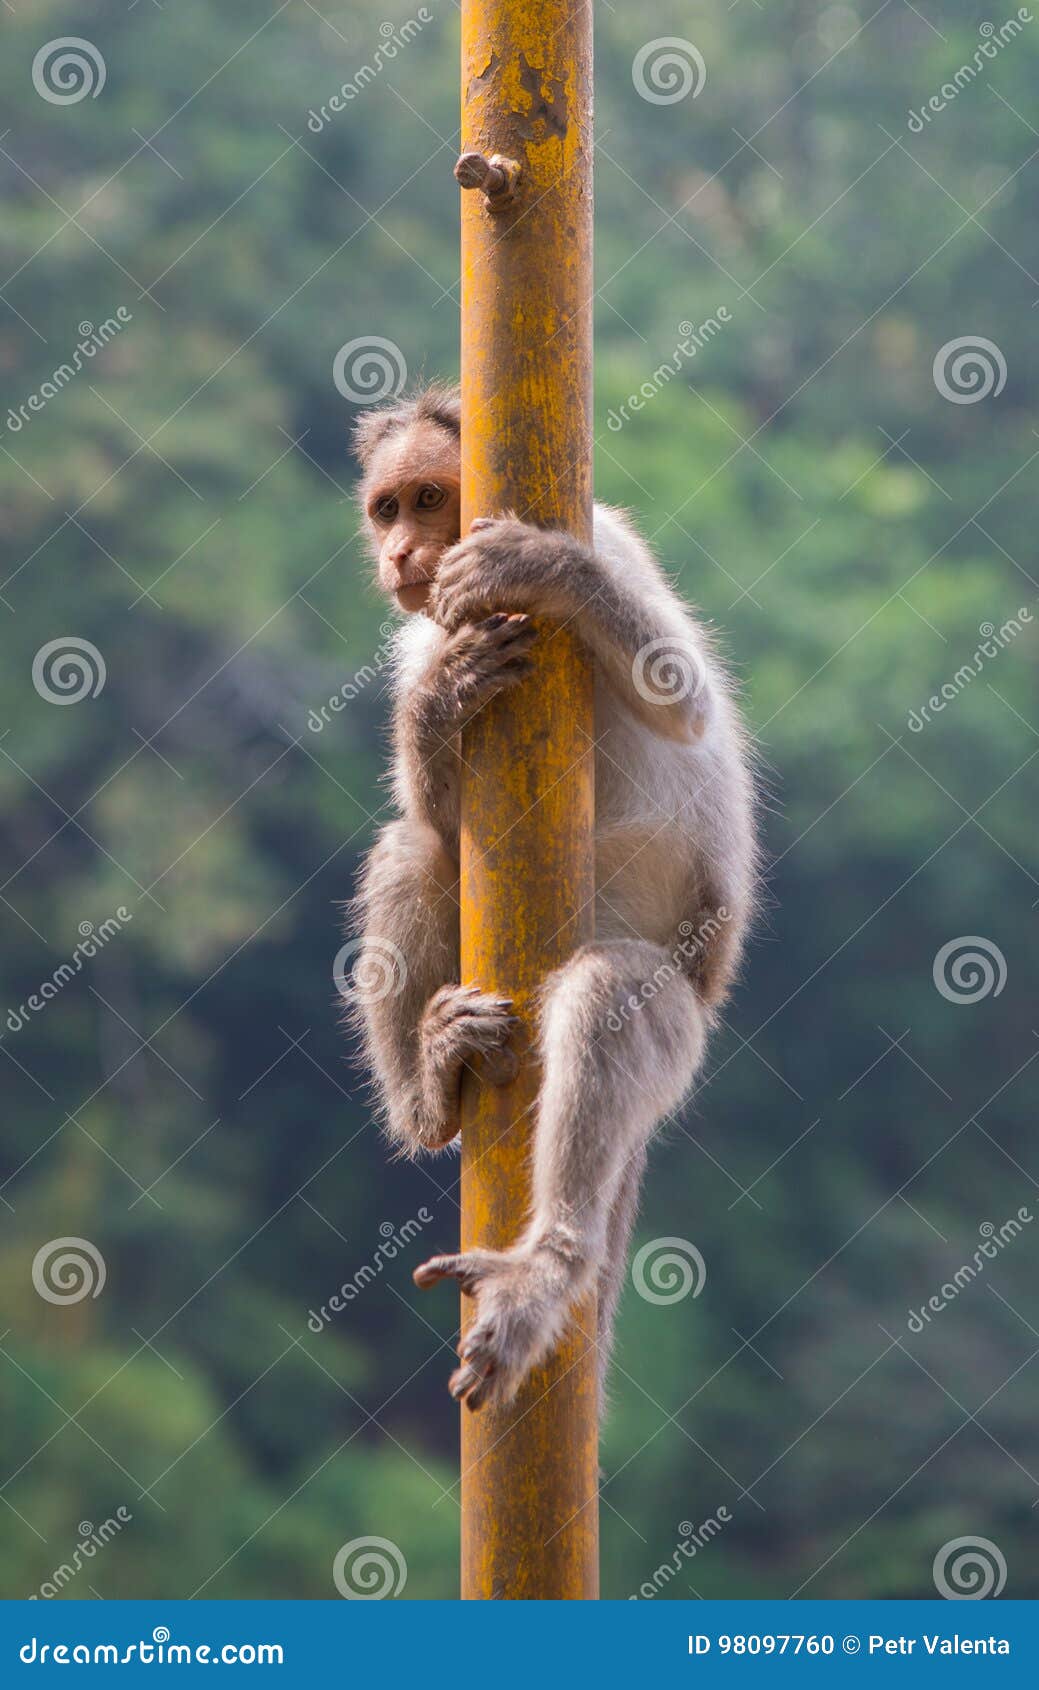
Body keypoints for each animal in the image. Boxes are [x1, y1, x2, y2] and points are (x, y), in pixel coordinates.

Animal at [347, 383, 757, 1413]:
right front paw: (436, 704)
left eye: (426, 499)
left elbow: (679, 701)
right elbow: (440, 814)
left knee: (612, 990)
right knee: (416, 850)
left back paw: (548, 1266)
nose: (398, 555)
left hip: (681, 1032)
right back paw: (431, 1095)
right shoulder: (428, 629)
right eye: (385, 508)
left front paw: (540, 568)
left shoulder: (607, 540)